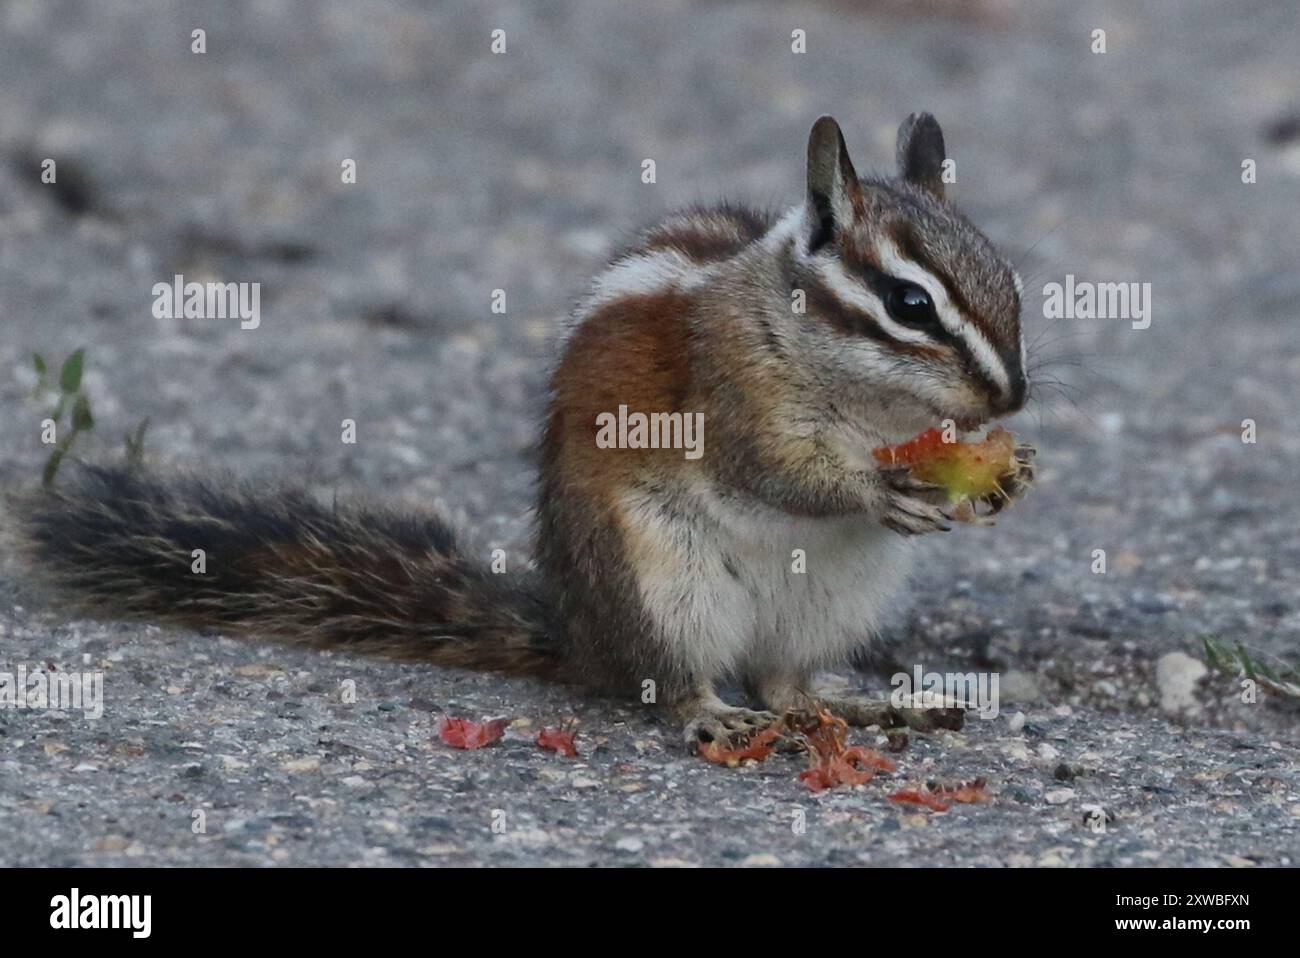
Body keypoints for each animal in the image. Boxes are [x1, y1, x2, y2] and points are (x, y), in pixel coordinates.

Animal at [13, 114, 1032, 749]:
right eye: (909, 304)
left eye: (1012, 284)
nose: (1012, 398)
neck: (870, 407)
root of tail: (581, 636)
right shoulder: (732, 390)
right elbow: (773, 469)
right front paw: (877, 487)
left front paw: (1007, 477)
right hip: (662, 577)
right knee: (675, 680)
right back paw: (710, 715)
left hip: (835, 601)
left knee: (787, 682)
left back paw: (863, 709)